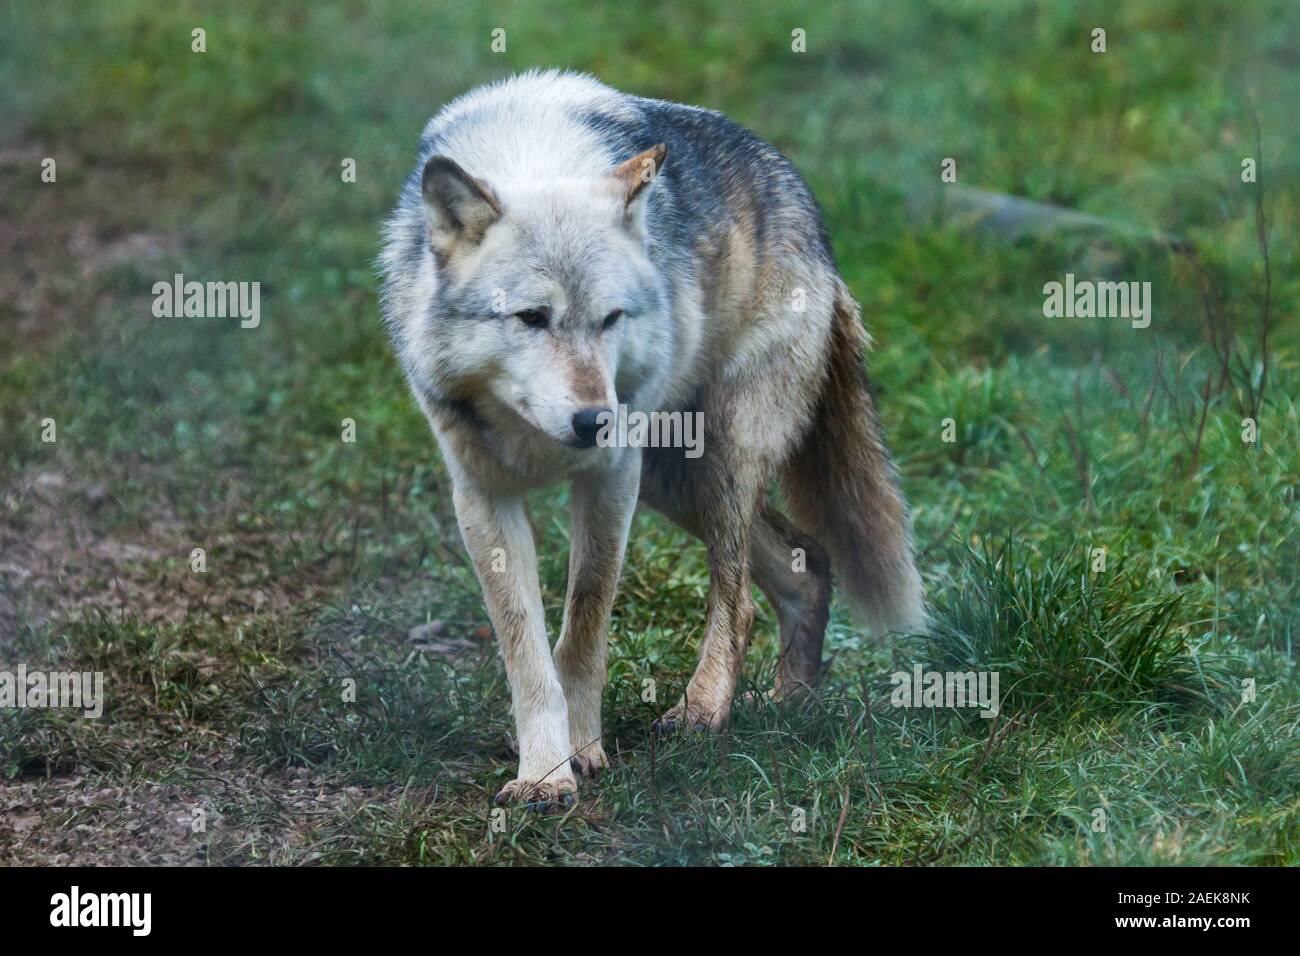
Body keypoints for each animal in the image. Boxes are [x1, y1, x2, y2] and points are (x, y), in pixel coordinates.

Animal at [379, 70, 924, 809]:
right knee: (808, 564)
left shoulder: (611, 478)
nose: (594, 421)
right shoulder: (483, 496)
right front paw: (543, 776)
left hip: (717, 456)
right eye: (531, 318)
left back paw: (703, 713)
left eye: (611, 318)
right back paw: (792, 711)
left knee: (739, 602)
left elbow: (583, 629)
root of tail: (813, 217)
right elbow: (526, 650)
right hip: (675, 482)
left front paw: (583, 753)